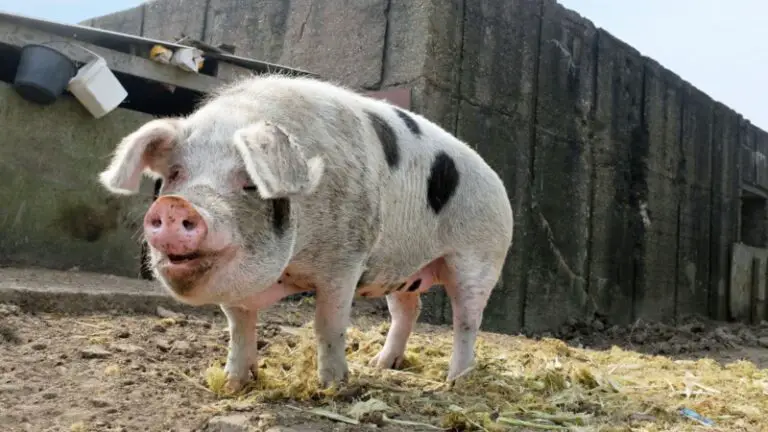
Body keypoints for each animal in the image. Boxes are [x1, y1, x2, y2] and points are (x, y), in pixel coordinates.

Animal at [97, 74, 514, 392]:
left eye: (249, 182)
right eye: (176, 173)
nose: (175, 206)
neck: (291, 267)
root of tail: (498, 180)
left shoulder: (345, 261)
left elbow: (328, 325)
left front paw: (333, 387)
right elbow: (238, 327)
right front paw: (233, 384)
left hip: (479, 258)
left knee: (467, 320)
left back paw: (455, 381)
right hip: (400, 270)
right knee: (409, 309)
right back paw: (381, 365)